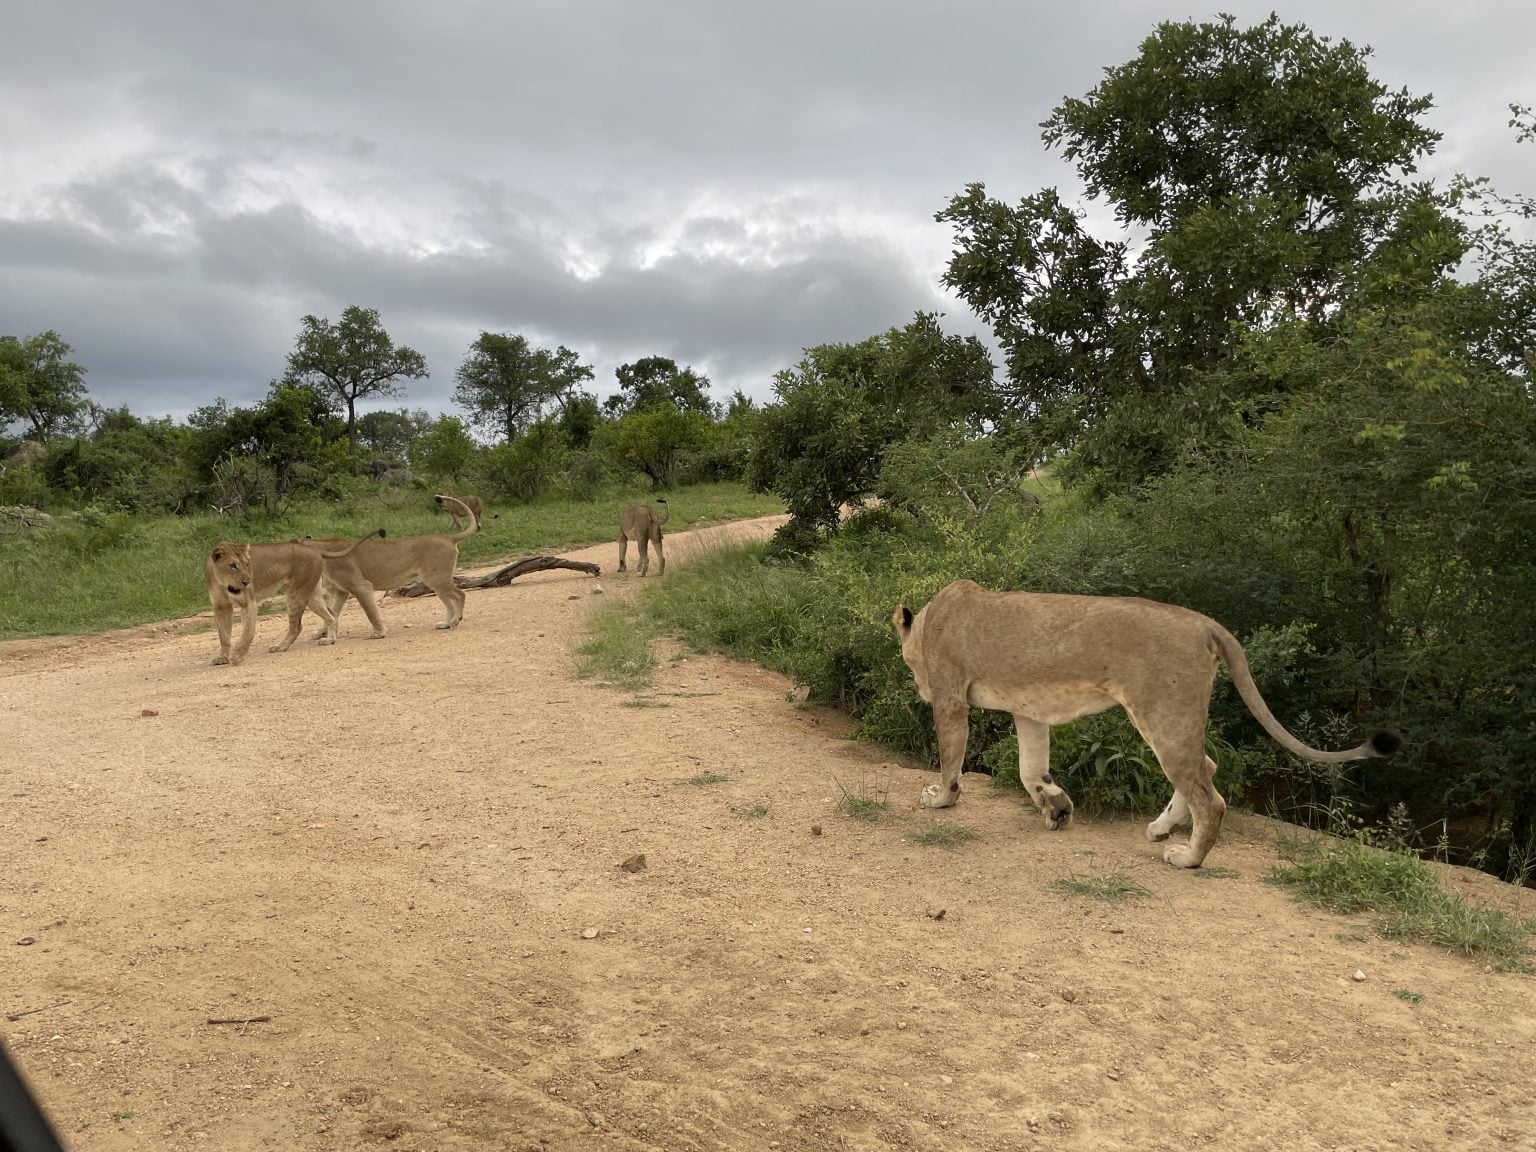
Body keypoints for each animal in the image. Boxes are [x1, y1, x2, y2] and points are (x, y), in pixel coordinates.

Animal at [204, 529, 384, 666]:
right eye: (232, 565)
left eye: (247, 564)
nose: (247, 581)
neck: (224, 583)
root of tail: (312, 549)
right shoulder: (221, 607)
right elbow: (223, 636)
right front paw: (223, 657)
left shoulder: (249, 603)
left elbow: (248, 632)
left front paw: (237, 656)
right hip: (312, 596)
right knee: (332, 614)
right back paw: (330, 640)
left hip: (296, 594)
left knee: (297, 627)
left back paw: (280, 647)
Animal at [303, 495, 478, 637]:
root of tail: (447, 537)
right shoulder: (341, 591)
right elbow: (332, 613)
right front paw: (320, 634)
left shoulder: (360, 586)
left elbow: (370, 612)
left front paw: (379, 633)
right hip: (434, 580)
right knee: (449, 601)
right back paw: (446, 624)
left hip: (437, 578)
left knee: (460, 594)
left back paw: (455, 621)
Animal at [892, 579, 1399, 869]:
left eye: (913, 666)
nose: (916, 688)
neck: (931, 620)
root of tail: (1203, 622)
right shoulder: (1029, 710)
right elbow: (1030, 770)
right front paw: (1057, 808)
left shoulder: (951, 697)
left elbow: (951, 759)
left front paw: (940, 799)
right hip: (1172, 717)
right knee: (1206, 767)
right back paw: (1160, 829)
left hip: (1162, 712)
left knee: (1210, 796)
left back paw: (1187, 857)